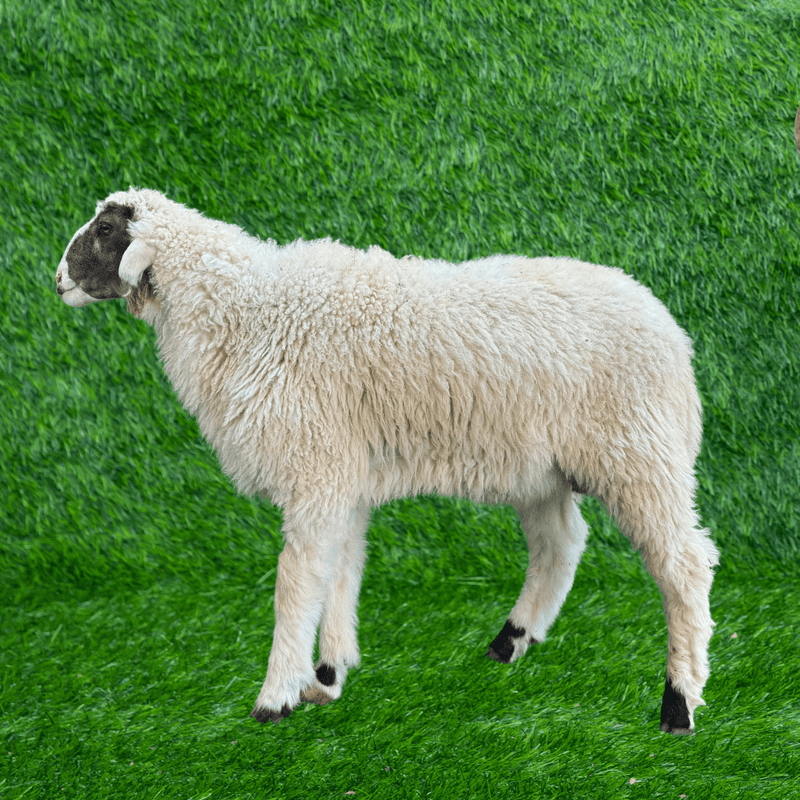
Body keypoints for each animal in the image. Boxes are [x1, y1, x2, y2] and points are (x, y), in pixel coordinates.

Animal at [55, 188, 719, 734]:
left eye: (106, 231)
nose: (57, 280)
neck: (246, 312)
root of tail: (670, 329)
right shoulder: (341, 475)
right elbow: (340, 570)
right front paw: (327, 675)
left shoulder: (316, 465)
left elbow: (296, 582)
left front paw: (276, 696)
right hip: (542, 465)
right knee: (561, 542)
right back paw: (512, 639)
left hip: (639, 450)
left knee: (684, 567)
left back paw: (679, 703)